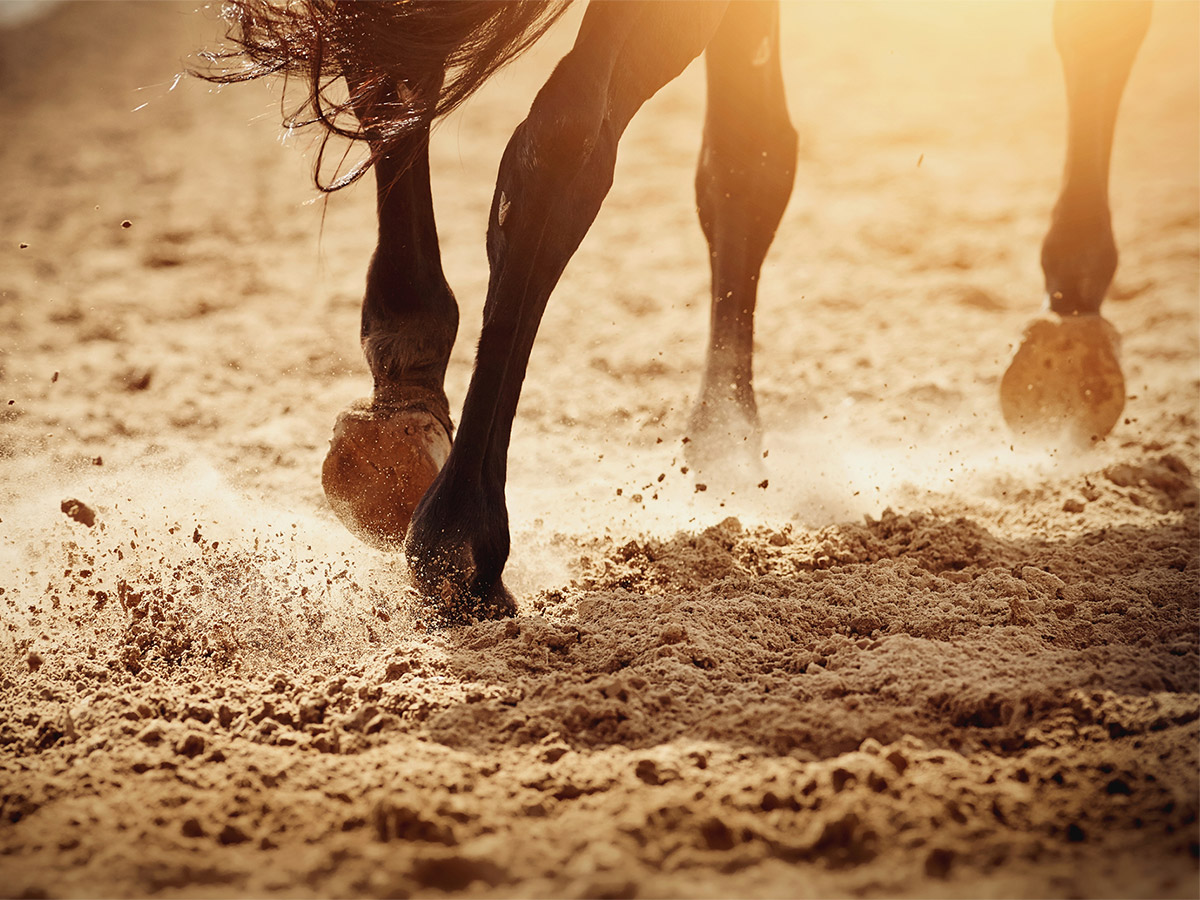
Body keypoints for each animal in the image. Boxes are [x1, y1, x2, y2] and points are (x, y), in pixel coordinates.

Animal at [203, 0, 1152, 623]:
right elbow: (1098, 31)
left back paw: (400, 411)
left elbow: (748, 155)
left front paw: (727, 441)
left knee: (395, 78)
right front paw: (1072, 328)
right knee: (561, 143)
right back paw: (460, 546)